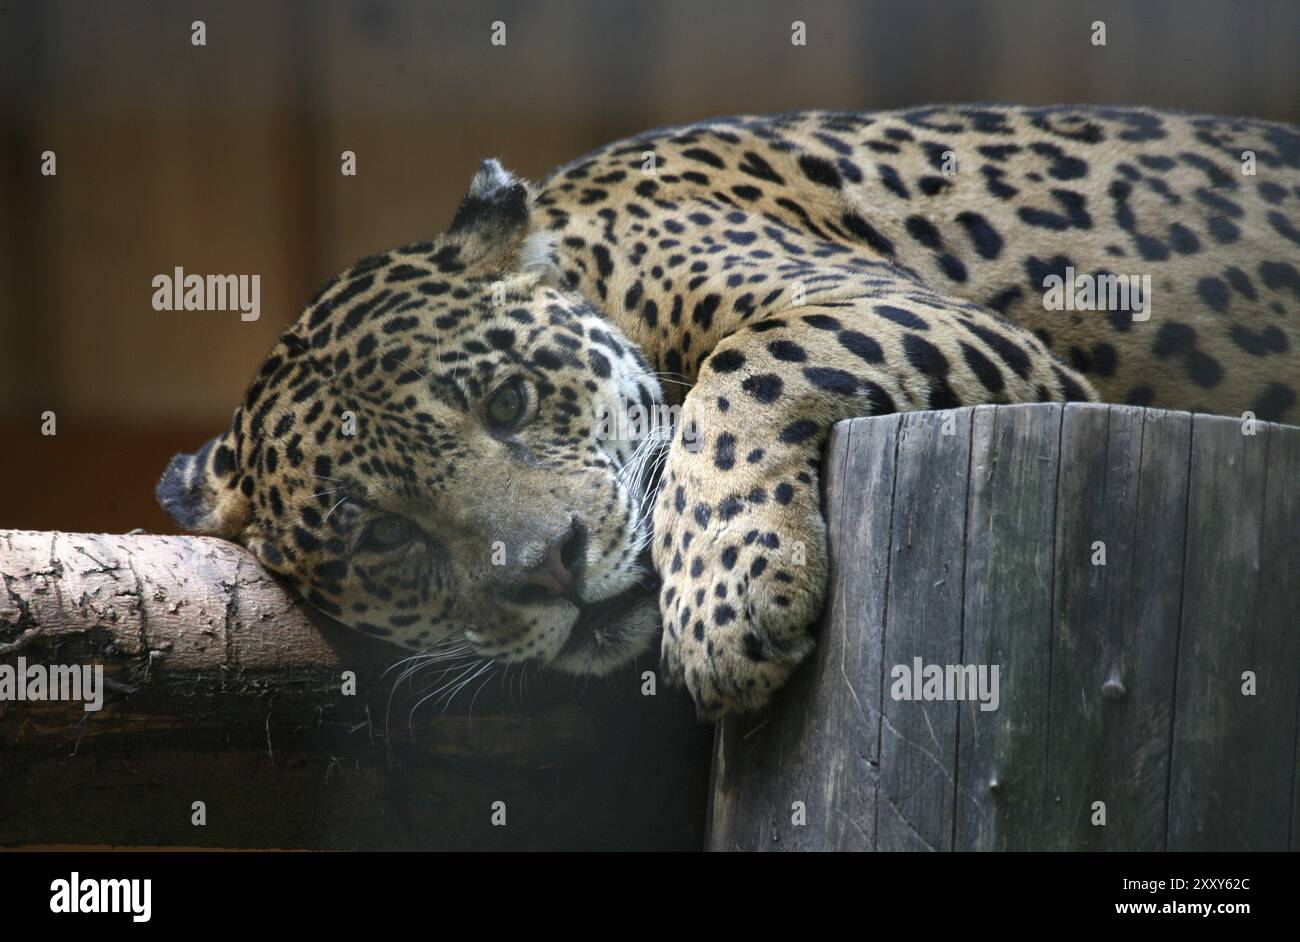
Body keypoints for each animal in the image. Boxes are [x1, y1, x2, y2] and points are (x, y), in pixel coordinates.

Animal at [158, 105, 1300, 720]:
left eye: (509, 400)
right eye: (386, 537)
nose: (551, 568)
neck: (590, 253)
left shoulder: (918, 311)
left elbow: (748, 360)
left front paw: (725, 607)